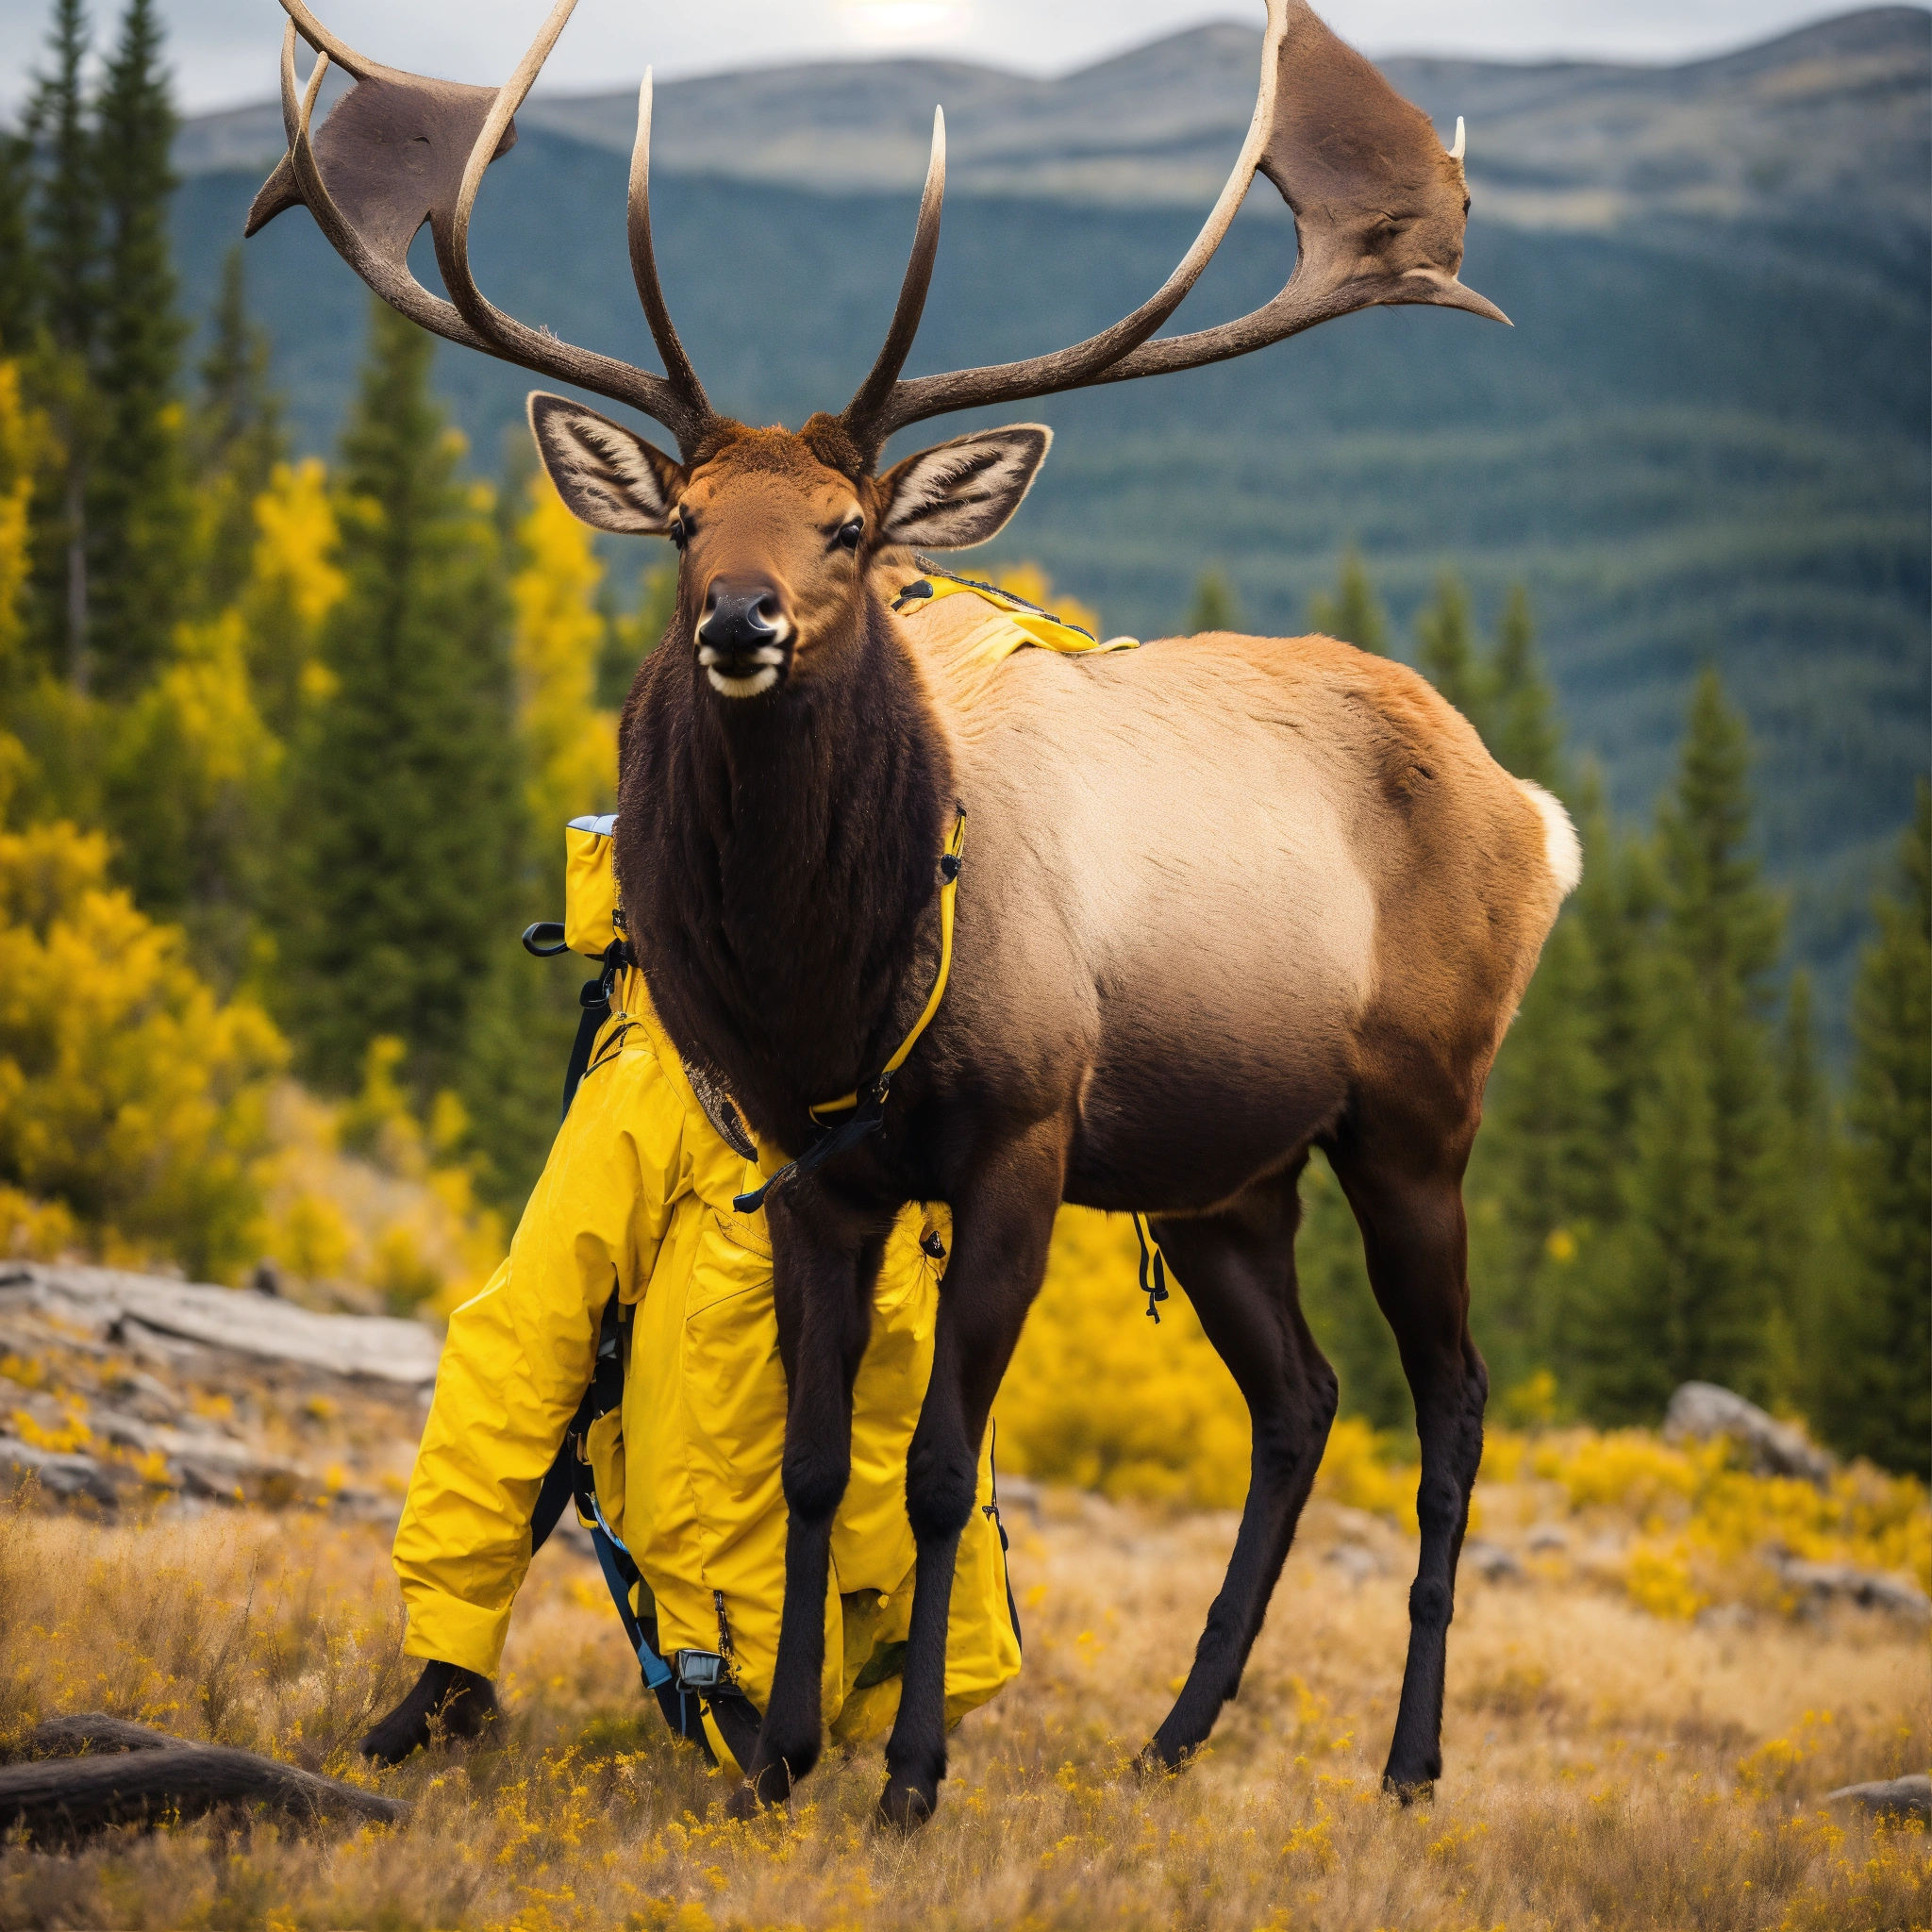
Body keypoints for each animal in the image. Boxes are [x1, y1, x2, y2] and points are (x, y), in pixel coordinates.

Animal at [248, 0, 1580, 1830]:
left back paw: (1407, 1762)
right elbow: (816, 1462)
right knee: (1301, 1402)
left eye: (851, 524)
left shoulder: (1018, 1139)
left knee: (1449, 1405)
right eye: (680, 520)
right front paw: (780, 1754)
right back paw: (1173, 1734)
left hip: (1414, 1113)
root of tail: (1535, 812)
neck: (835, 990)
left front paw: (913, 1772)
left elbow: (943, 1467)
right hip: (1219, 1173)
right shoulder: (812, 1170)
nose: (741, 618)